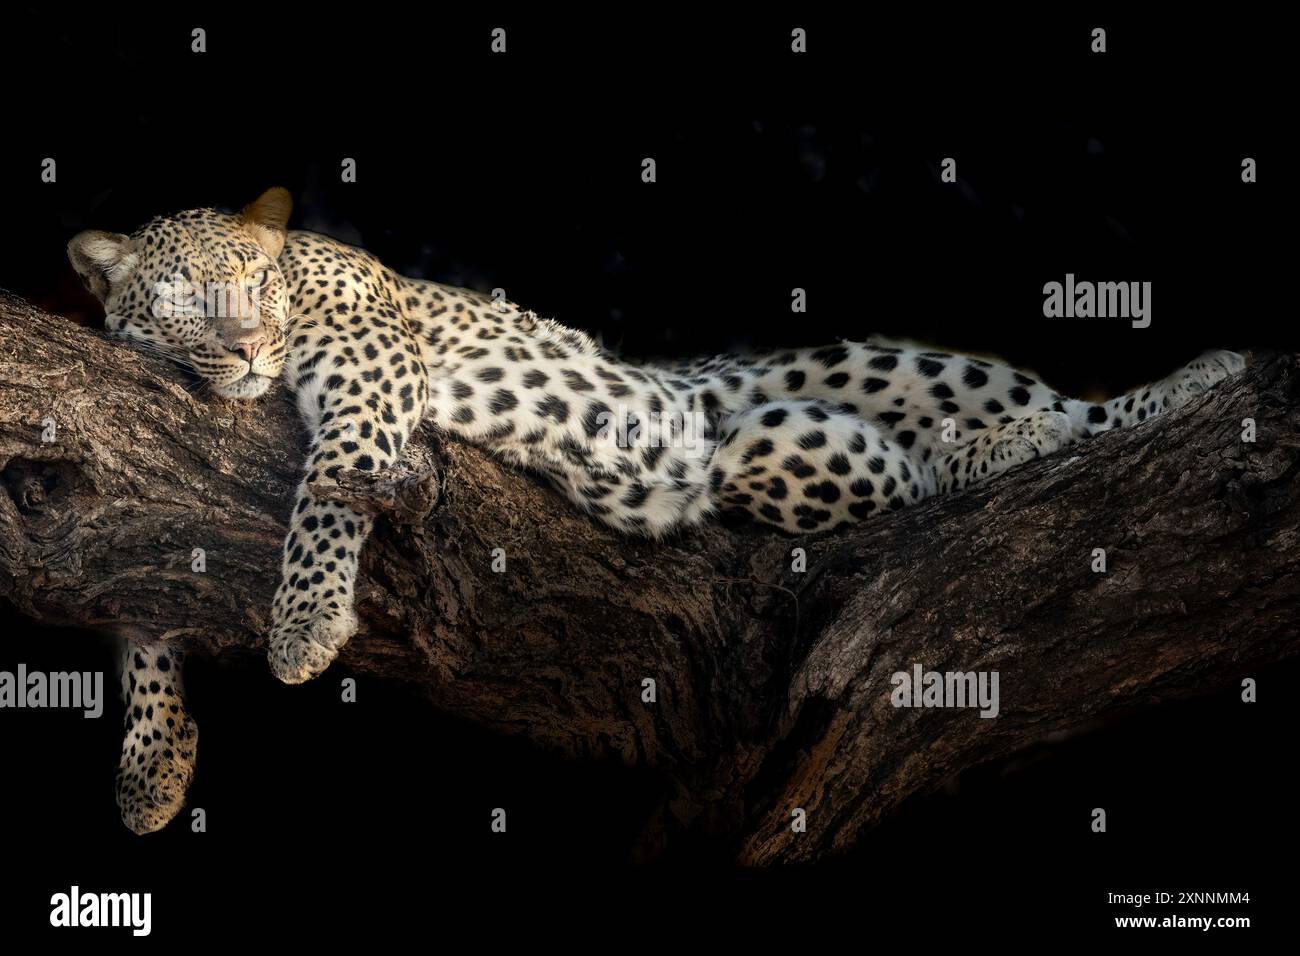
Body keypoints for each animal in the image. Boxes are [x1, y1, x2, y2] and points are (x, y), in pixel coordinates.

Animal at [66, 187, 1245, 832]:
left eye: (253, 277)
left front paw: (305, 625)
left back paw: (1181, 388)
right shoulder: (137, 478)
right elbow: (134, 612)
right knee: (890, 471)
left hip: (838, 371)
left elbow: (331, 485)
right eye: (187, 295)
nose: (243, 348)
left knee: (1042, 419)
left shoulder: (369, 366)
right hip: (770, 440)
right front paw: (151, 769)